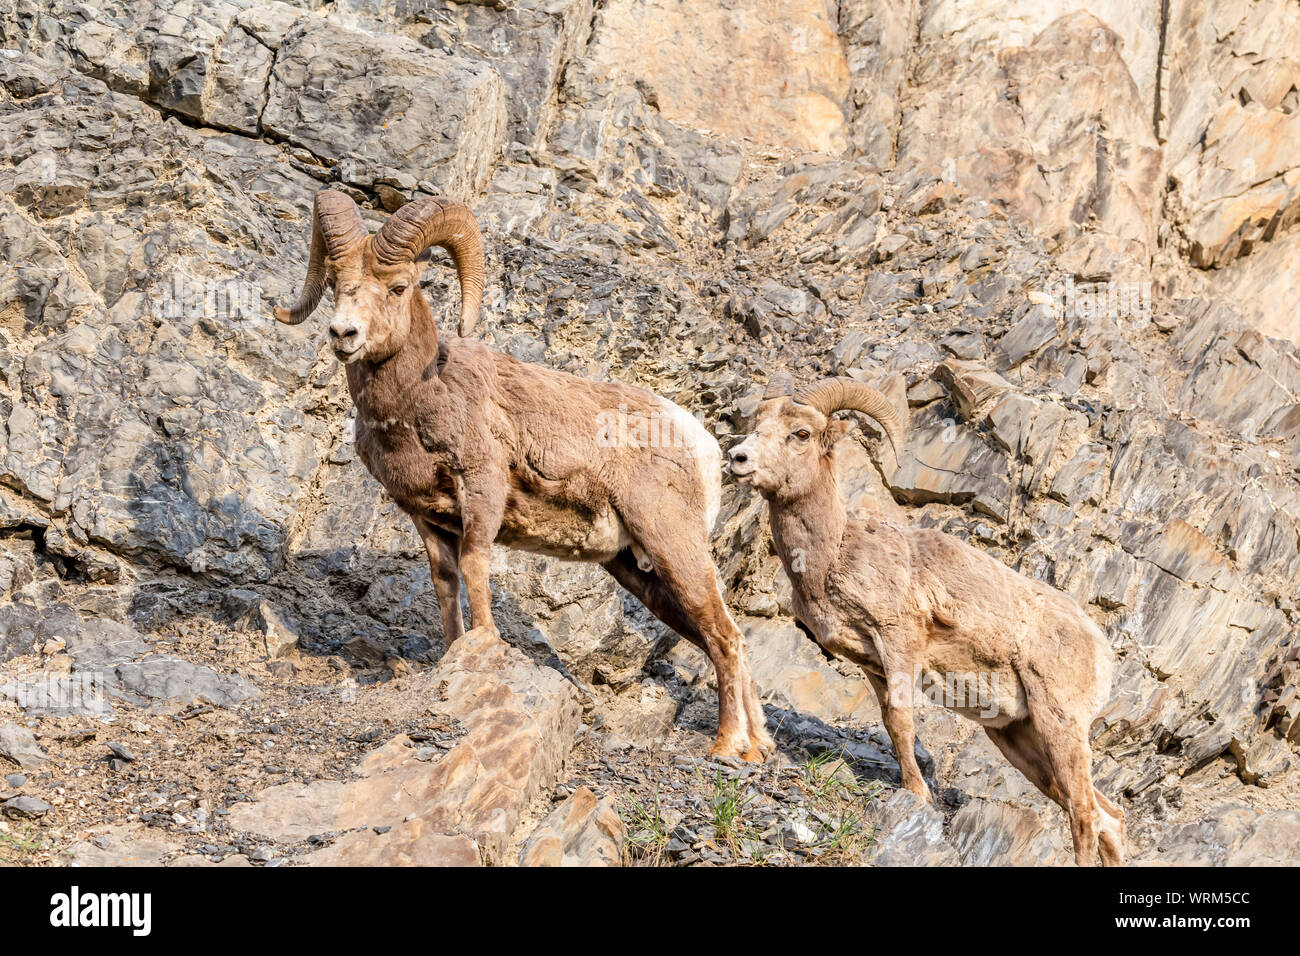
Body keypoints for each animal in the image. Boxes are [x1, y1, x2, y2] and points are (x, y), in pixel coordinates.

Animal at [273, 189, 773, 761]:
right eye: (336, 284)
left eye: (398, 287)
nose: (343, 334)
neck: (420, 398)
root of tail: (703, 445)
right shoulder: (426, 518)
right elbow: (446, 584)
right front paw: (454, 652)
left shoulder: (481, 495)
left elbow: (476, 570)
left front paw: (486, 648)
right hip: (638, 570)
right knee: (720, 638)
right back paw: (759, 748)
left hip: (675, 547)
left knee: (725, 638)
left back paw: (727, 746)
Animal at [727, 371, 1125, 865]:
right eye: (759, 424)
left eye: (800, 433)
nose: (737, 459)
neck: (832, 554)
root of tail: (1100, 648)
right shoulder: (873, 665)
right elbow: (890, 724)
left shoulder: (899, 643)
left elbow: (902, 721)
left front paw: (916, 795)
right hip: (1019, 739)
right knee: (1106, 816)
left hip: (1061, 726)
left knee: (1085, 815)